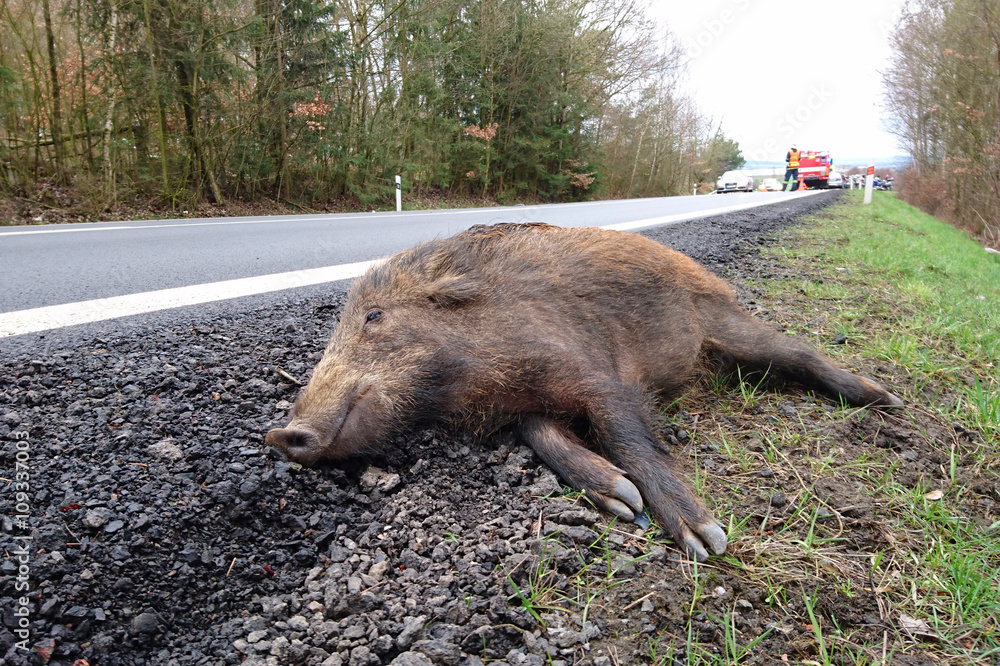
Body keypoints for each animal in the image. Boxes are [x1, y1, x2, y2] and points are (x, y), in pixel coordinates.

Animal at [265, 222, 902, 561]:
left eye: (374, 317)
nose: (280, 433)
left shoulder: (599, 374)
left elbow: (627, 436)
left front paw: (705, 542)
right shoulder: (529, 405)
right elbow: (545, 436)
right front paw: (619, 500)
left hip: (729, 325)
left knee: (800, 353)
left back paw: (889, 403)